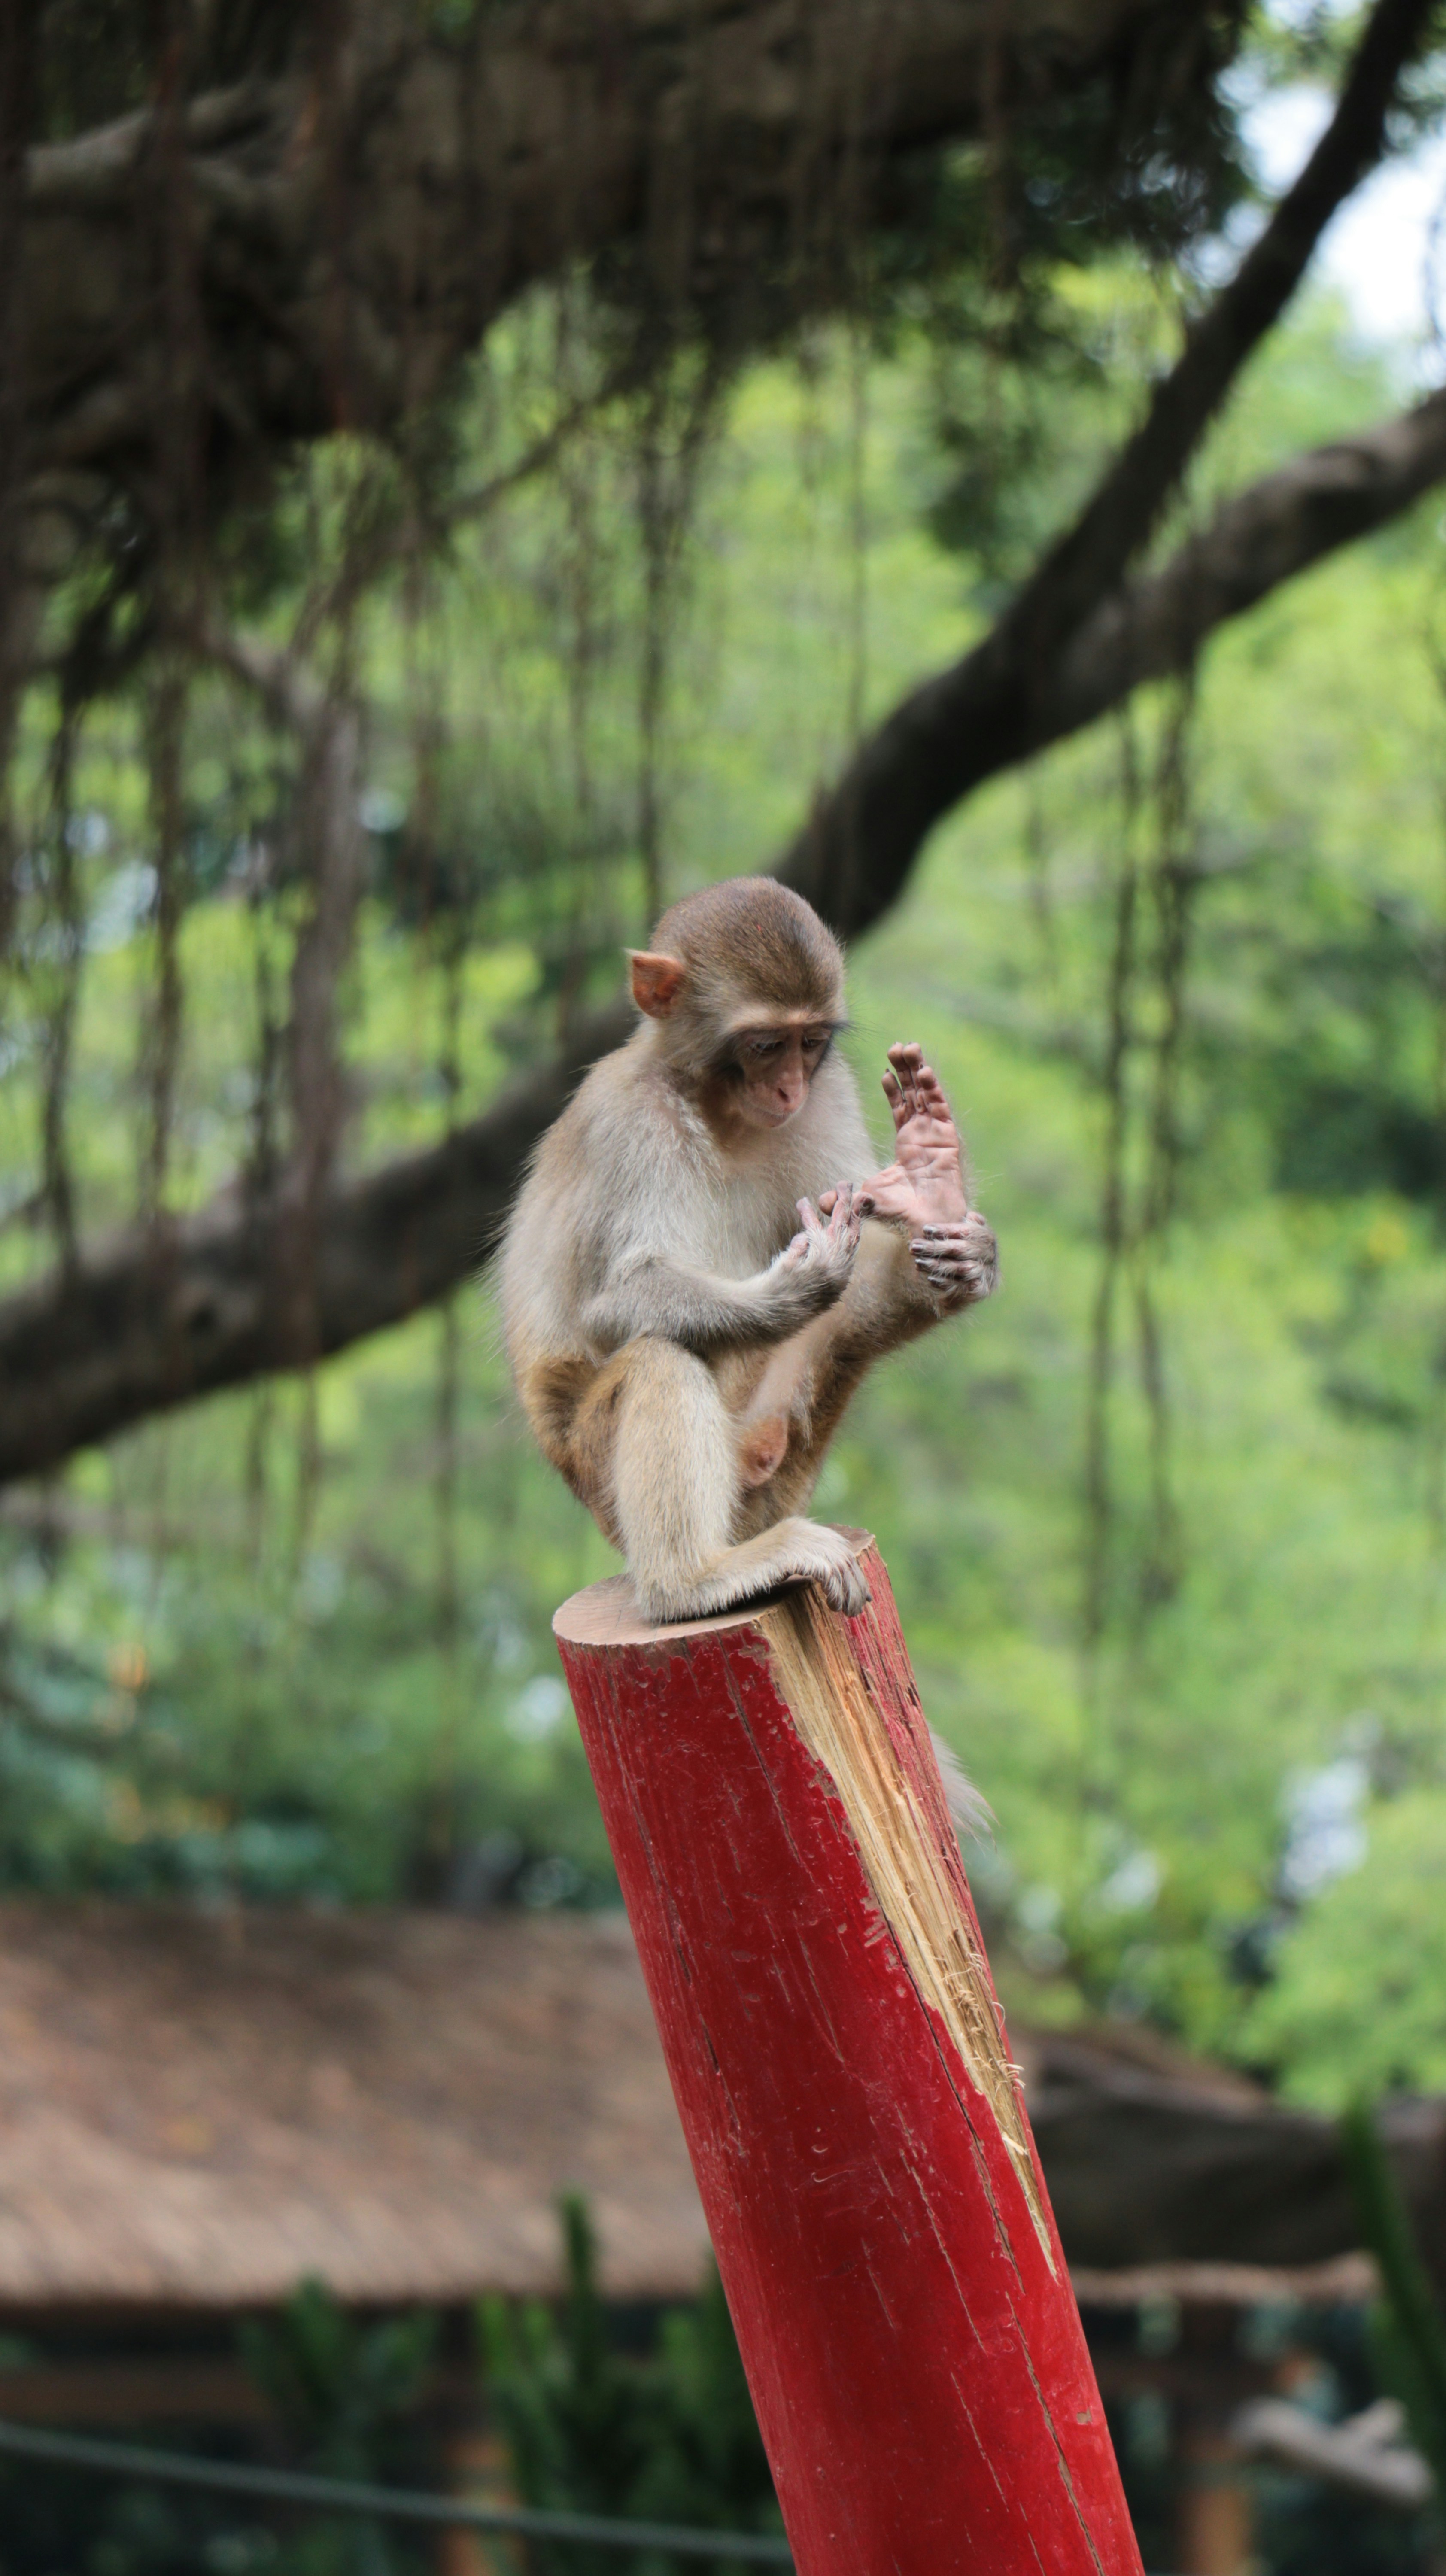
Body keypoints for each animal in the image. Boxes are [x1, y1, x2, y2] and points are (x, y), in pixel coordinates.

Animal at [500, 876, 997, 1626]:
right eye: (764, 1044)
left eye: (810, 1042)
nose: (789, 1087)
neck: (719, 1110)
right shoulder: (629, 1120)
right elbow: (616, 1301)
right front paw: (792, 1290)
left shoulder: (829, 1093)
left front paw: (933, 1185)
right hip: (600, 1475)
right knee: (660, 1357)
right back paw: (691, 1579)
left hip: (778, 1456)